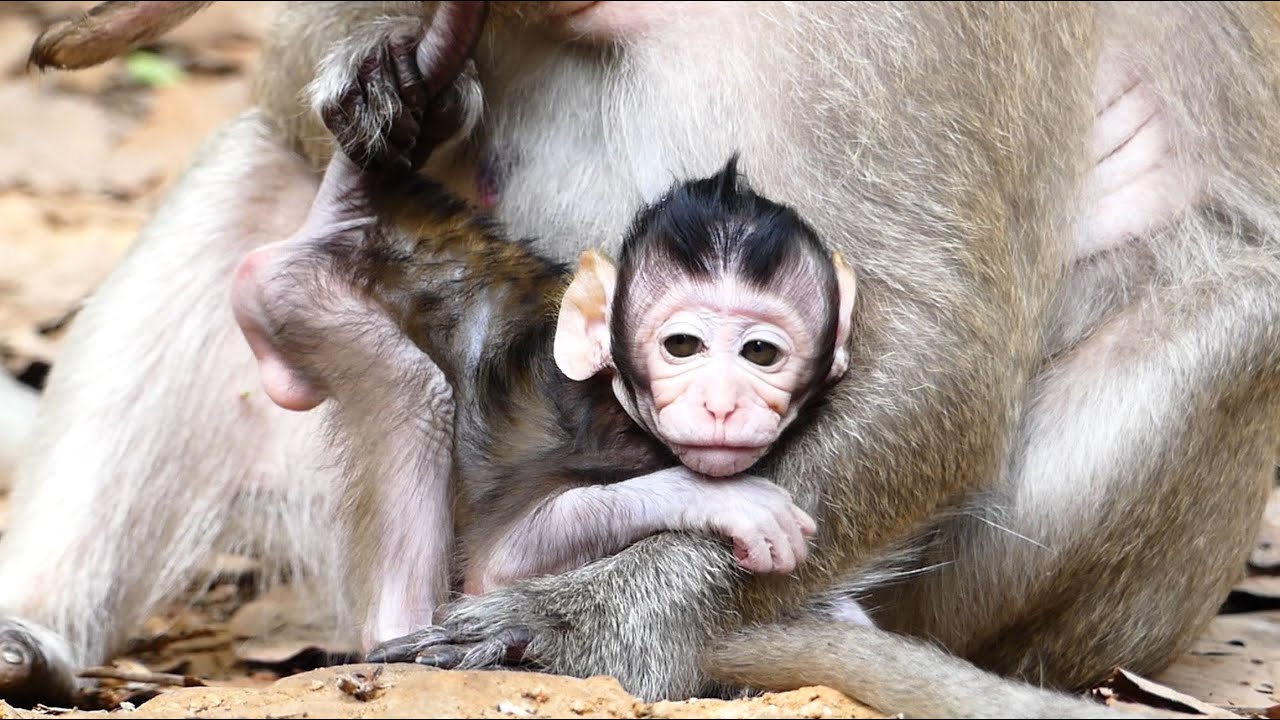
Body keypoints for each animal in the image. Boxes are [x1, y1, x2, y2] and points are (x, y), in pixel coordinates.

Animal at [5, 2, 1279, 718]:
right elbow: (288, 98)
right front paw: (387, 76)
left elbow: (938, 342)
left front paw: (579, 626)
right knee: (265, 173)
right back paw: (33, 636)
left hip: (970, 596)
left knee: (1245, 304)